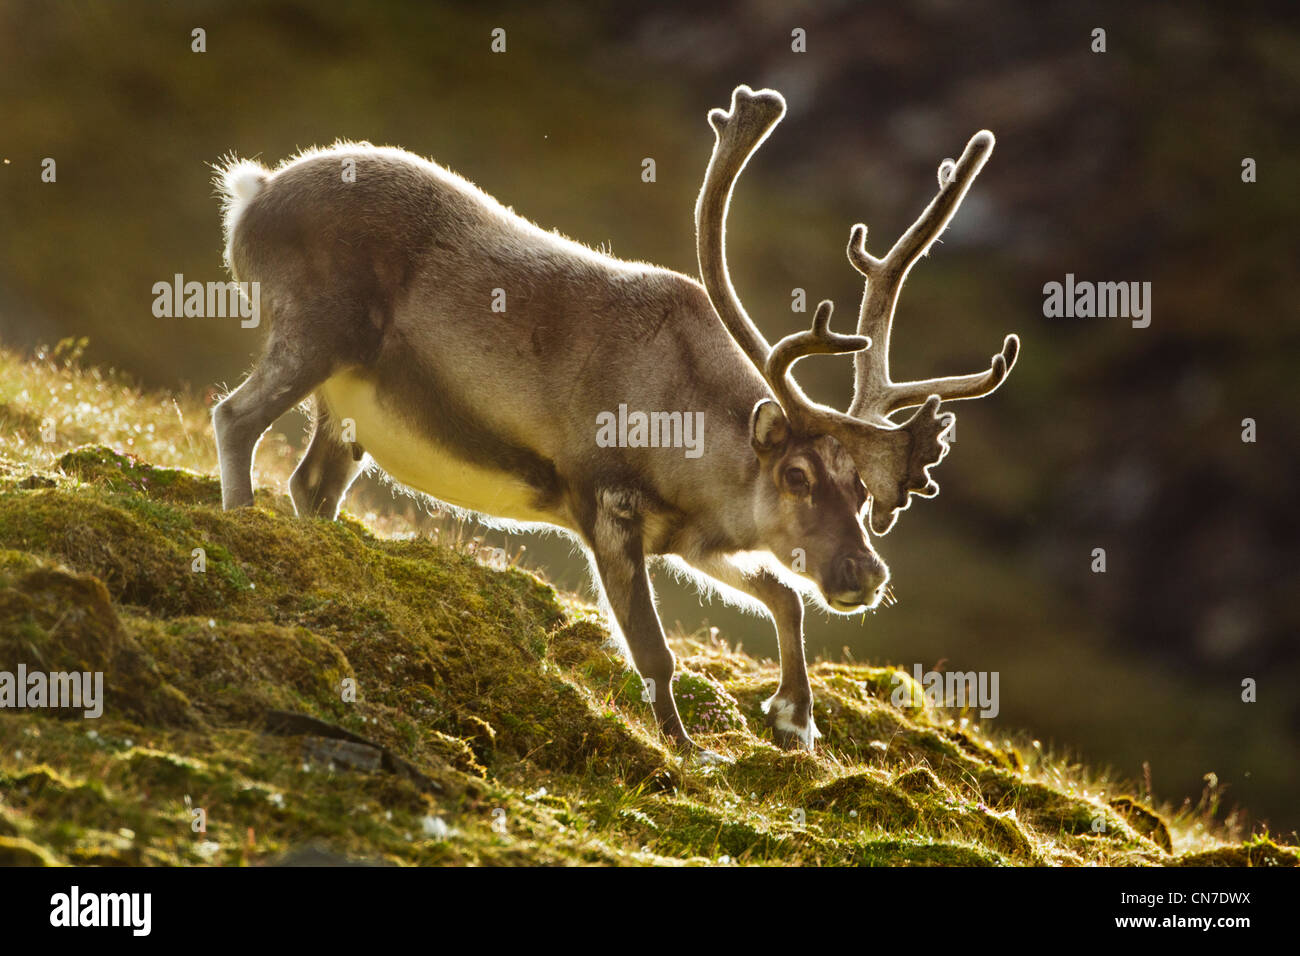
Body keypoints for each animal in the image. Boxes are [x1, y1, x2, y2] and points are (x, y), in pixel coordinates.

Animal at [212, 85, 1018, 760]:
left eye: (859, 488)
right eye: (797, 475)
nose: (865, 573)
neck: (693, 440)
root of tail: (252, 195)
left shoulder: (696, 539)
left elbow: (784, 596)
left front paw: (795, 718)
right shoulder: (608, 505)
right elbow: (656, 650)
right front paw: (690, 748)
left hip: (349, 410)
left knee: (312, 485)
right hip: (315, 331)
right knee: (234, 418)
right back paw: (240, 523)